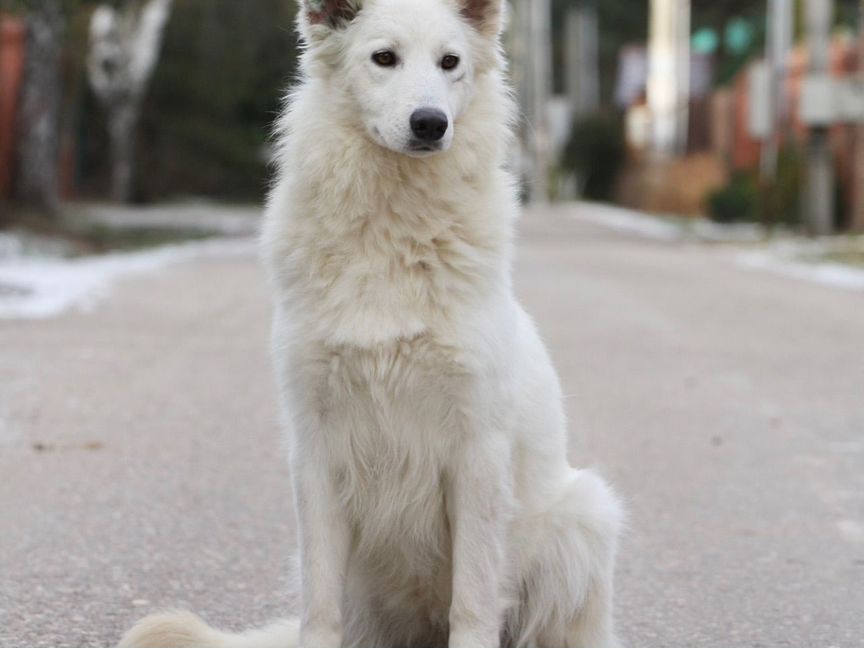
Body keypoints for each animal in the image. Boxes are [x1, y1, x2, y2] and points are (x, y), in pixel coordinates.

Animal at [120, 1, 620, 648]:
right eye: (384, 58)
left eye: (450, 62)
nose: (430, 123)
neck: (394, 226)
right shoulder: (315, 450)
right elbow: (319, 606)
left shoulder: (478, 453)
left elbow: (473, 600)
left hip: (584, 514)